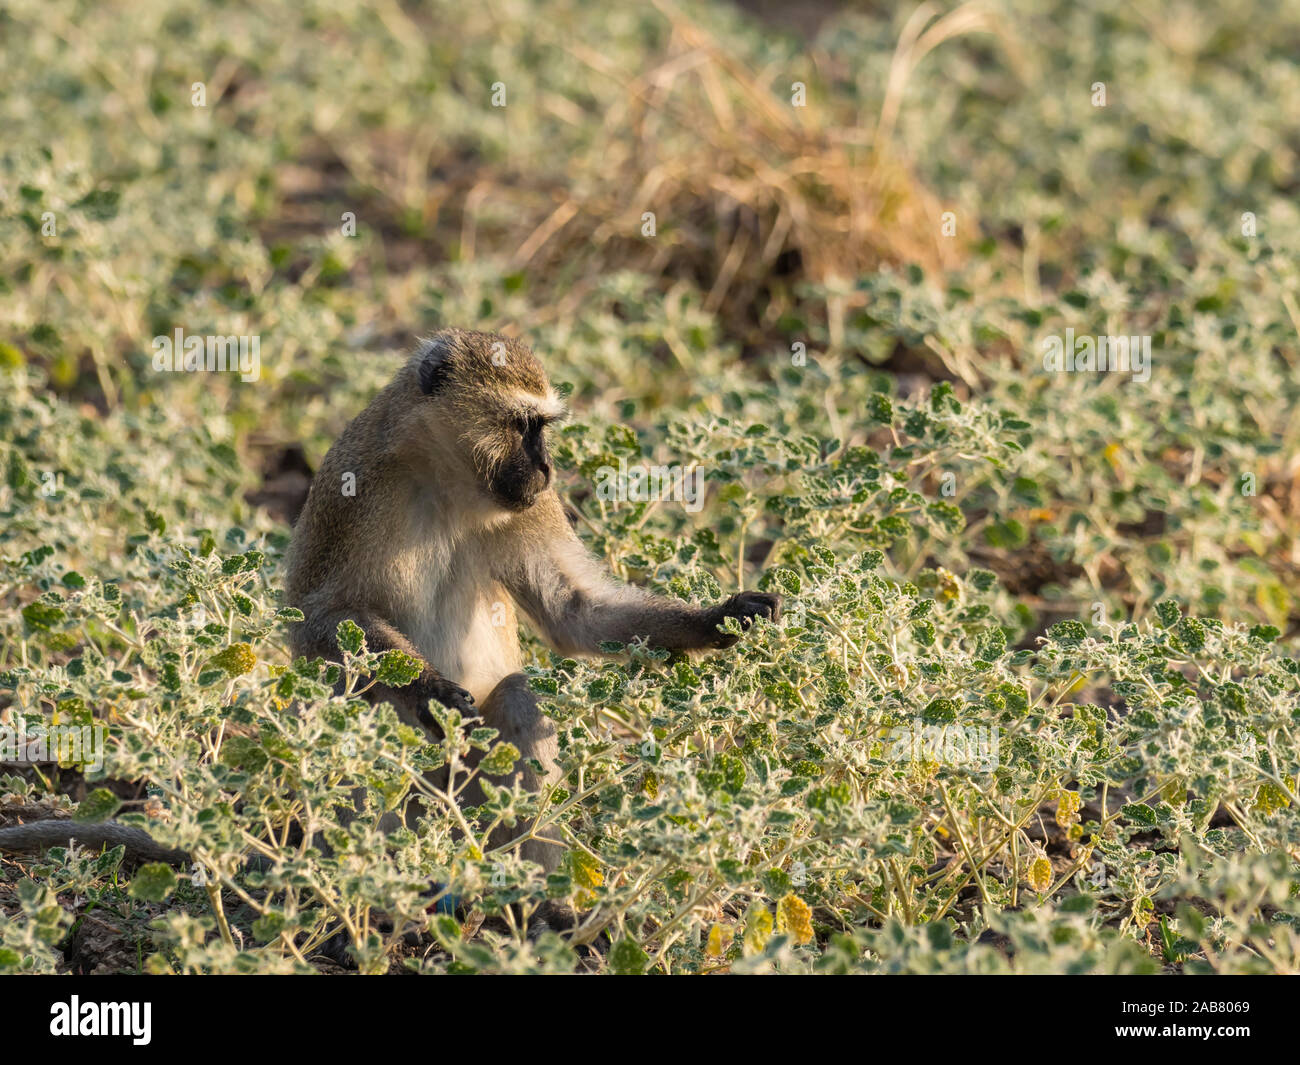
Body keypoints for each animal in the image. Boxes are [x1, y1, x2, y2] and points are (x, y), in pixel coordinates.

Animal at [0, 329, 780, 882]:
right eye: (523, 425)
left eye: (543, 429)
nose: (549, 468)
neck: (445, 477)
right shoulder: (350, 485)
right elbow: (318, 620)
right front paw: (430, 687)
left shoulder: (530, 509)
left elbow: (574, 611)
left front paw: (720, 618)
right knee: (371, 714)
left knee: (514, 698)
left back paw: (531, 896)